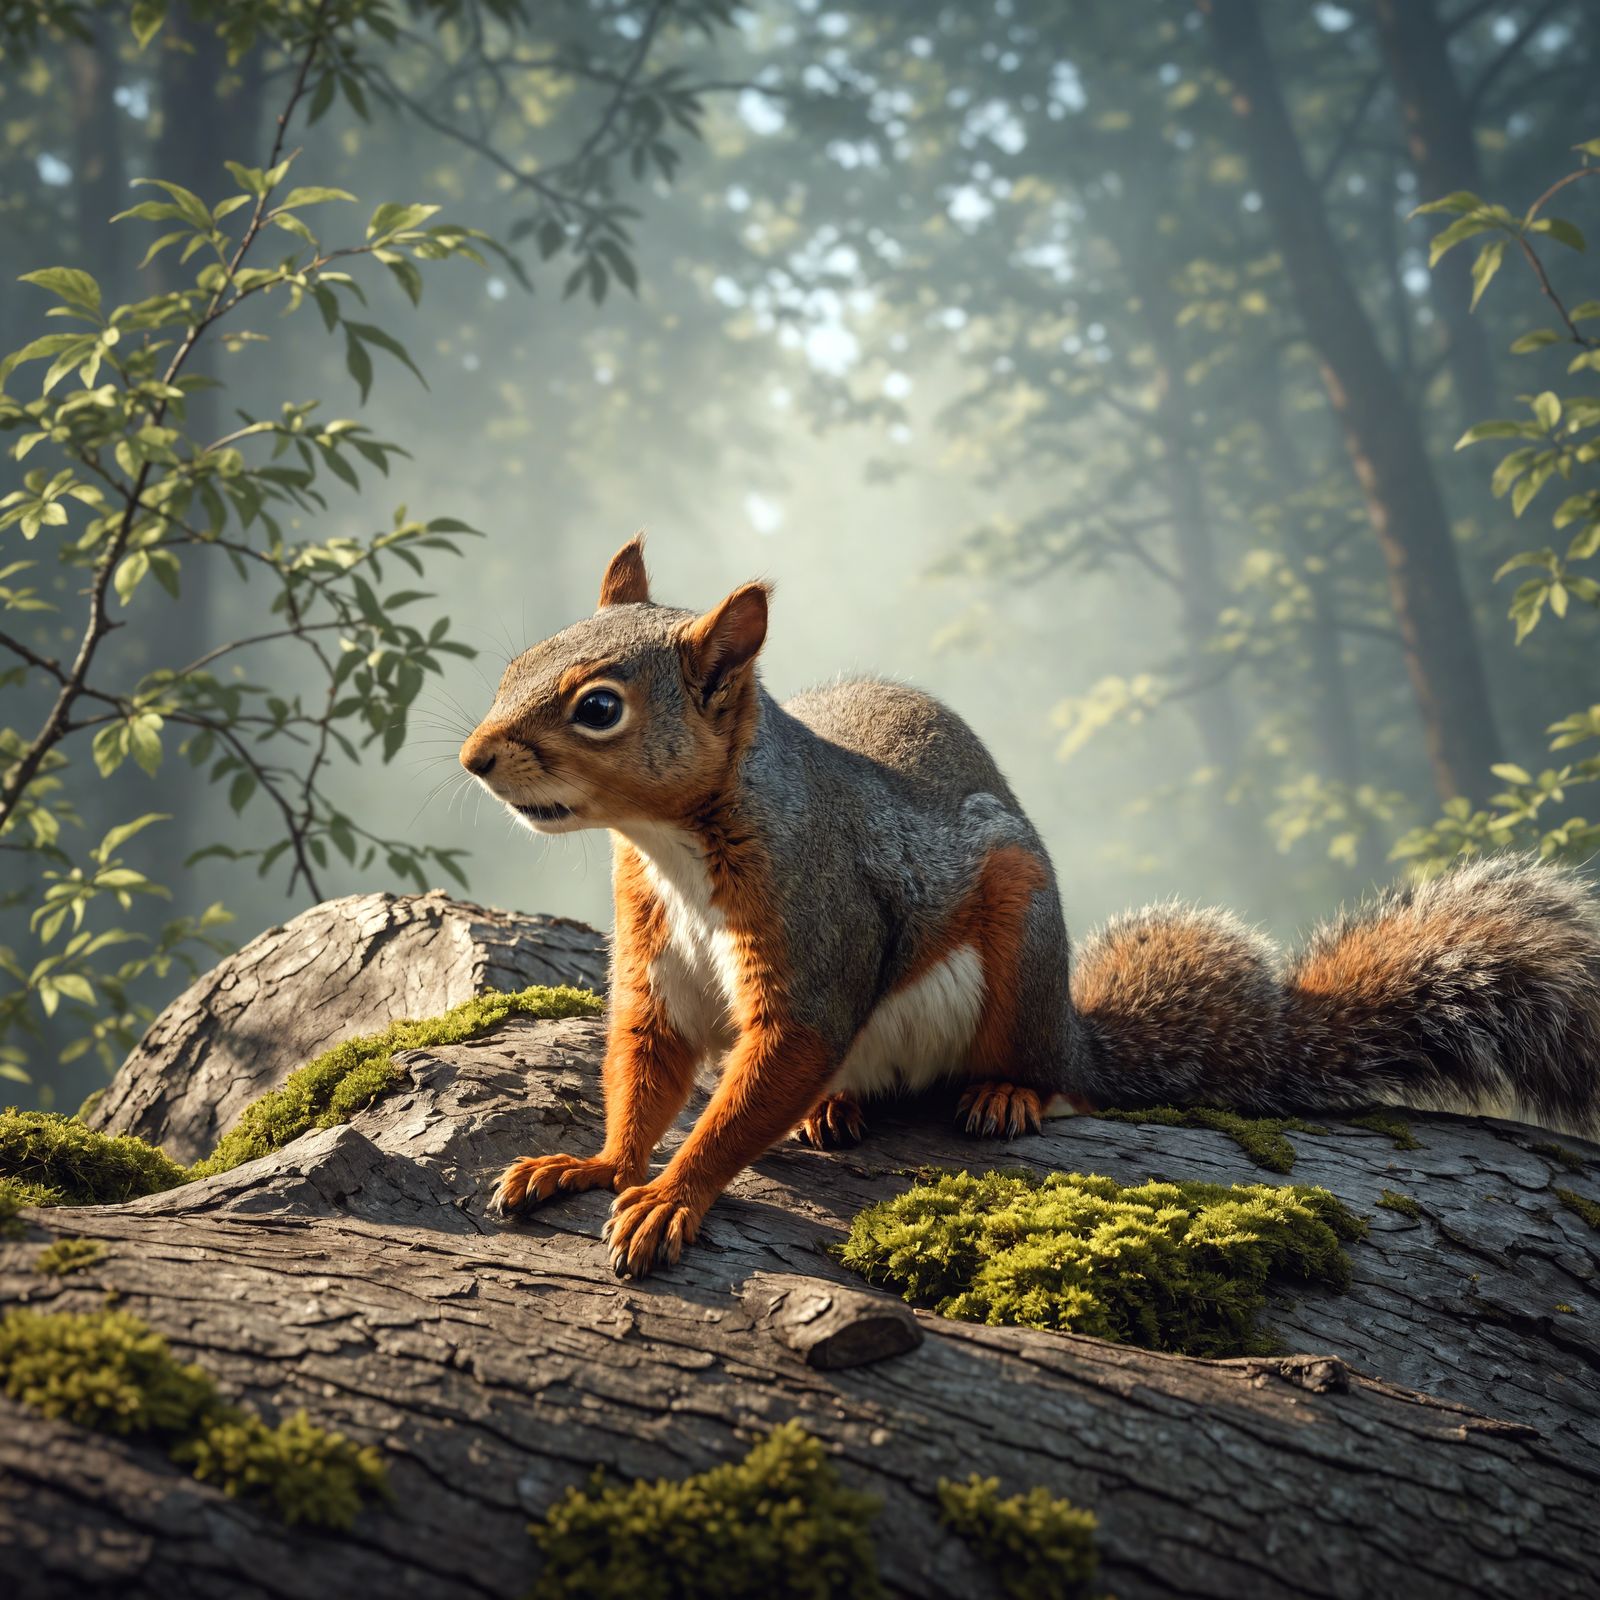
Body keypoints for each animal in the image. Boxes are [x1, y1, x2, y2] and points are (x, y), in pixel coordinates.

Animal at [460, 536, 1600, 1277]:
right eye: (516, 662)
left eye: (598, 706)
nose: (473, 759)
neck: (671, 847)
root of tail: (1072, 1030)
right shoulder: (656, 969)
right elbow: (643, 1068)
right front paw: (595, 1165)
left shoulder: (818, 937)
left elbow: (762, 1076)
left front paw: (670, 1197)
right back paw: (836, 1108)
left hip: (1018, 944)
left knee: (1055, 1082)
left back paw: (1010, 1093)